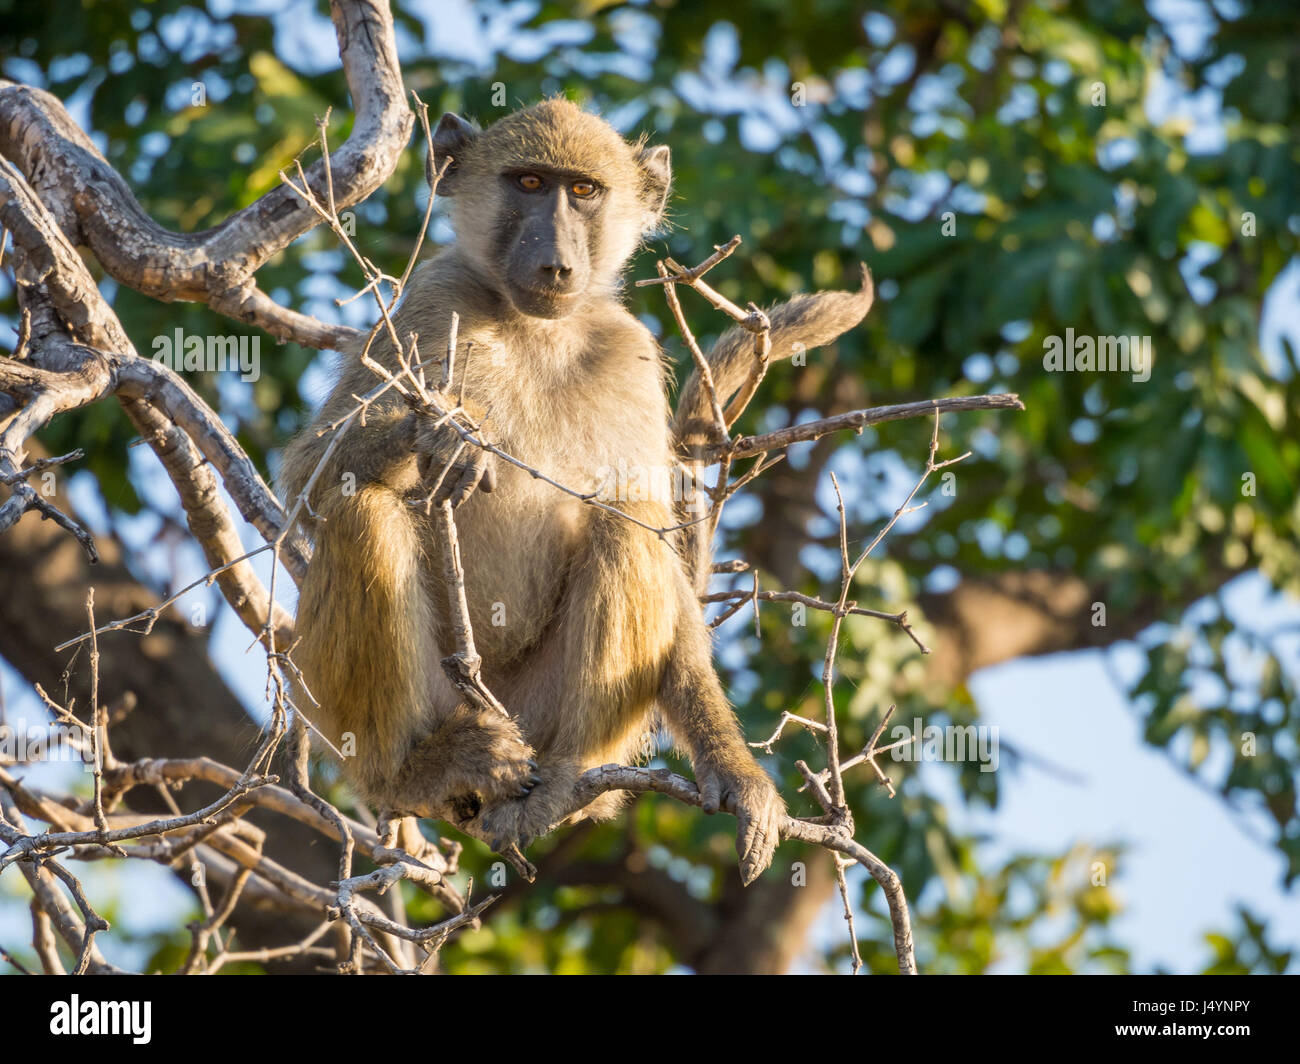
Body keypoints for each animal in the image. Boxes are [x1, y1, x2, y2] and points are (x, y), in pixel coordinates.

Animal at [278, 98, 874, 885]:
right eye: (529, 182)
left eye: (584, 191)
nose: (554, 263)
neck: (538, 329)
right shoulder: (429, 303)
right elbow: (308, 481)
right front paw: (444, 431)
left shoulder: (631, 353)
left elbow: (662, 555)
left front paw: (738, 775)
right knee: (363, 510)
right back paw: (419, 770)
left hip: (543, 714)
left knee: (624, 519)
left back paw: (563, 785)